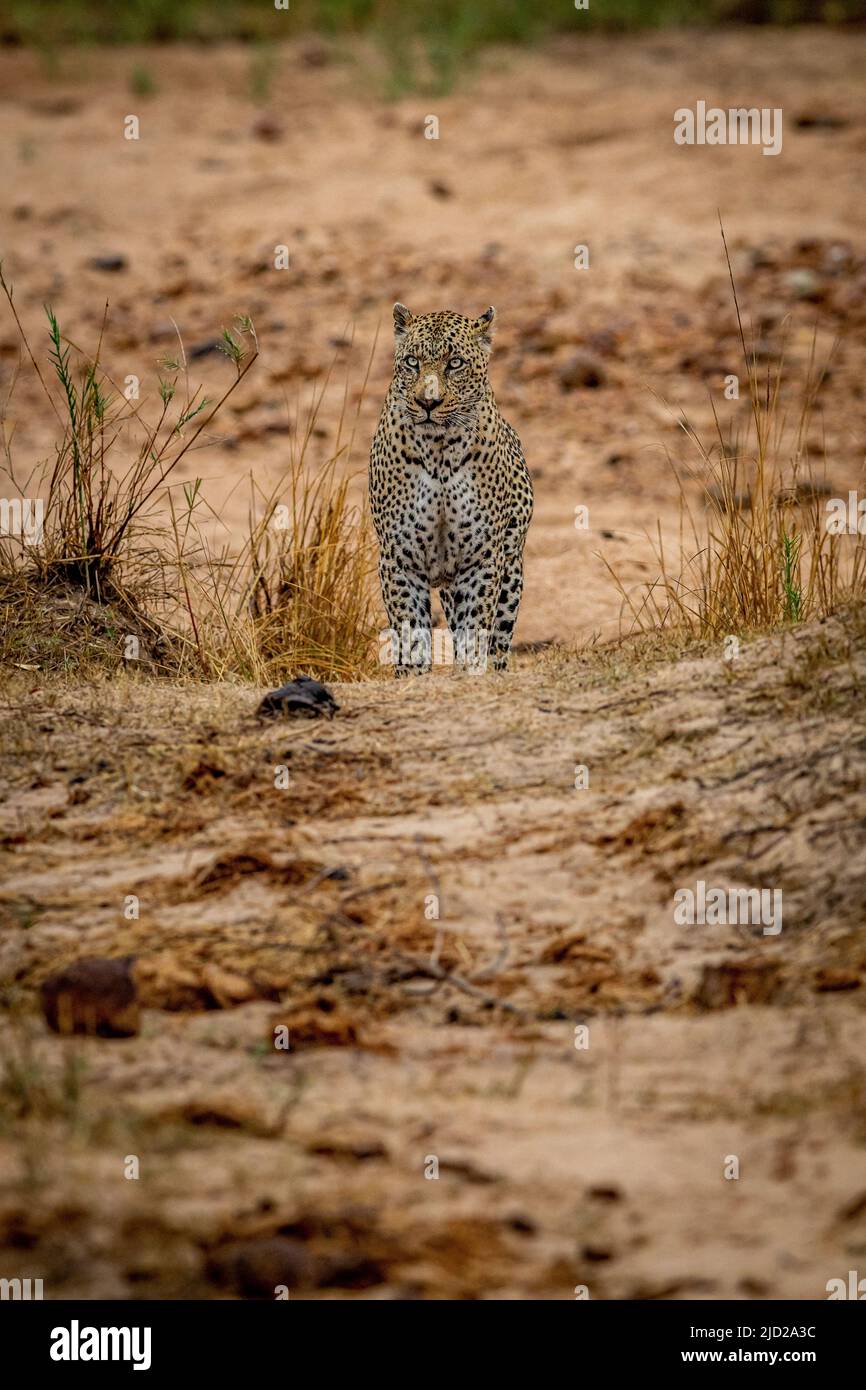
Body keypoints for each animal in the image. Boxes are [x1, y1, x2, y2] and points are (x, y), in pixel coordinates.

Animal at [369, 302, 533, 676]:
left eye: (455, 363)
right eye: (412, 361)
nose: (428, 402)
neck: (439, 450)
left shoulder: (480, 557)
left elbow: (474, 627)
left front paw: (470, 672)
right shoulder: (399, 557)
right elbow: (410, 629)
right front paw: (413, 676)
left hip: (511, 571)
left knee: (498, 637)